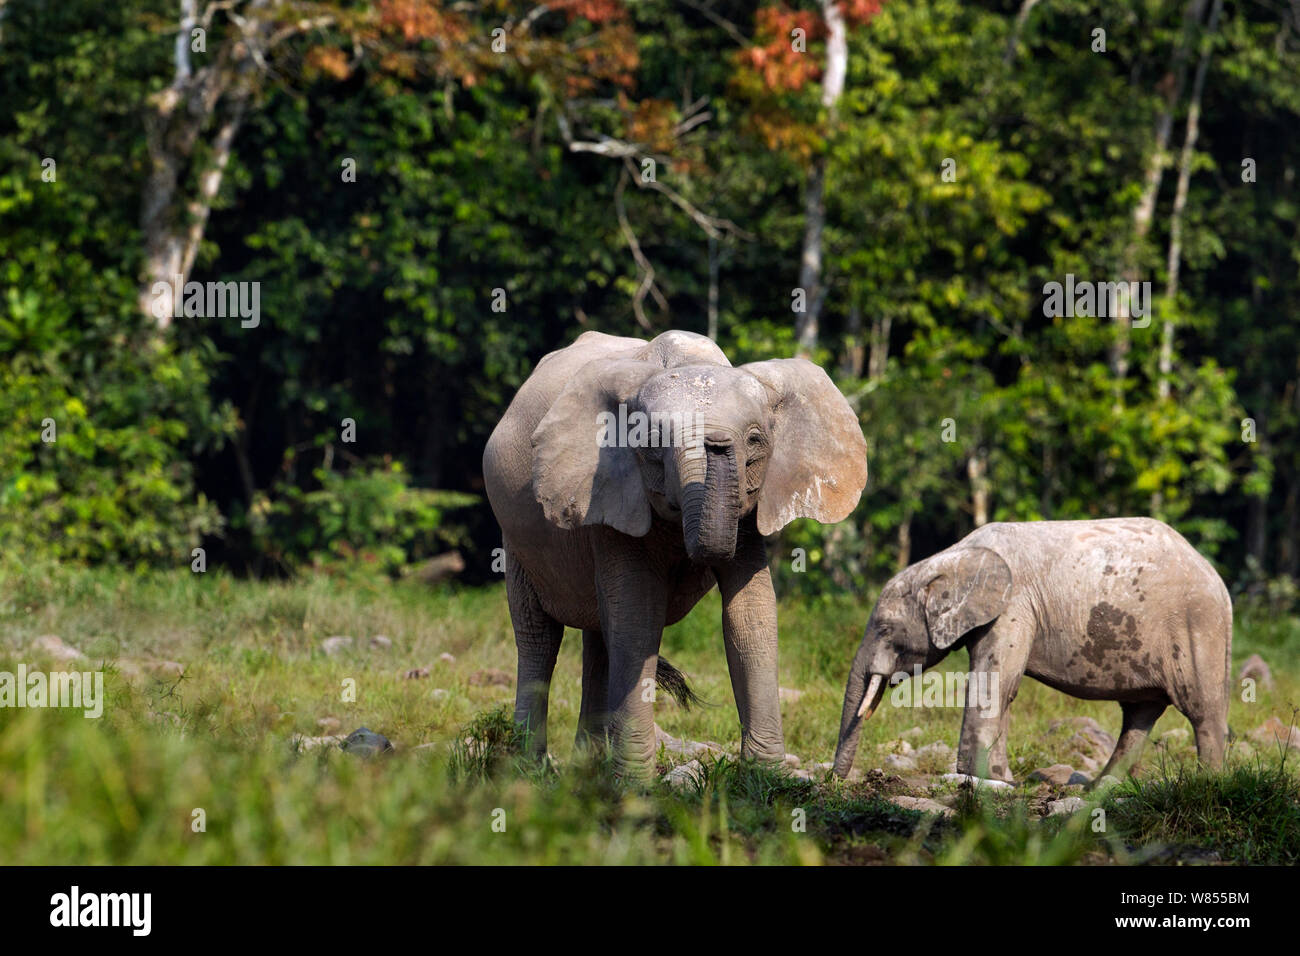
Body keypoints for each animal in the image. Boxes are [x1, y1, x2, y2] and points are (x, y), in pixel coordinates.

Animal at [483, 329, 867, 775]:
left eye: (755, 441)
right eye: (650, 445)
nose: (717, 441)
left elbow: (749, 612)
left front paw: (767, 777)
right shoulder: (610, 491)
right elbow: (638, 613)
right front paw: (635, 781)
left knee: (599, 637)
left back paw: (587, 769)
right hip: (515, 535)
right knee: (538, 635)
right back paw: (531, 770)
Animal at [833, 517, 1231, 783]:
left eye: (885, 629)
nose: (836, 781)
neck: (951, 557)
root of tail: (1217, 580)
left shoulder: (1014, 607)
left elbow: (997, 683)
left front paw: (981, 777)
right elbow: (1001, 688)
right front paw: (998, 778)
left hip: (1197, 627)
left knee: (1202, 710)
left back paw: (1207, 784)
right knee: (1140, 713)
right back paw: (1099, 790)